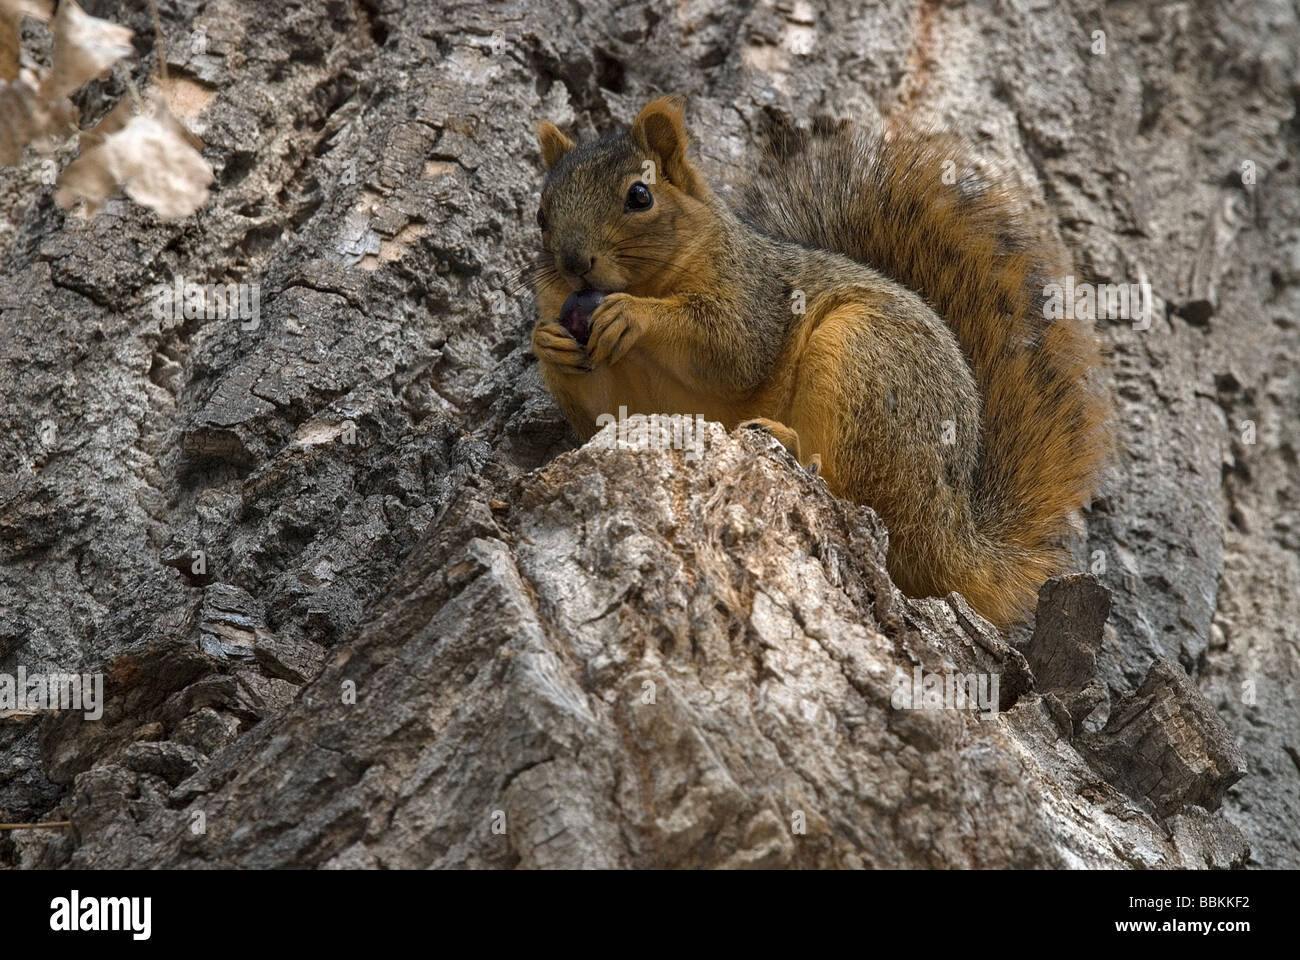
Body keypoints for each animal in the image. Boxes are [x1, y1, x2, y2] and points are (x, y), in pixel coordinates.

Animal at [529, 96, 1109, 629]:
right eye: (541, 213)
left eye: (639, 196)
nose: (573, 263)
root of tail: (953, 535)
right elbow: (603, 414)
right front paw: (548, 343)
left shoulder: (753, 297)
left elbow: (728, 350)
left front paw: (634, 314)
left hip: (863, 358)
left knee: (853, 490)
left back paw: (785, 439)